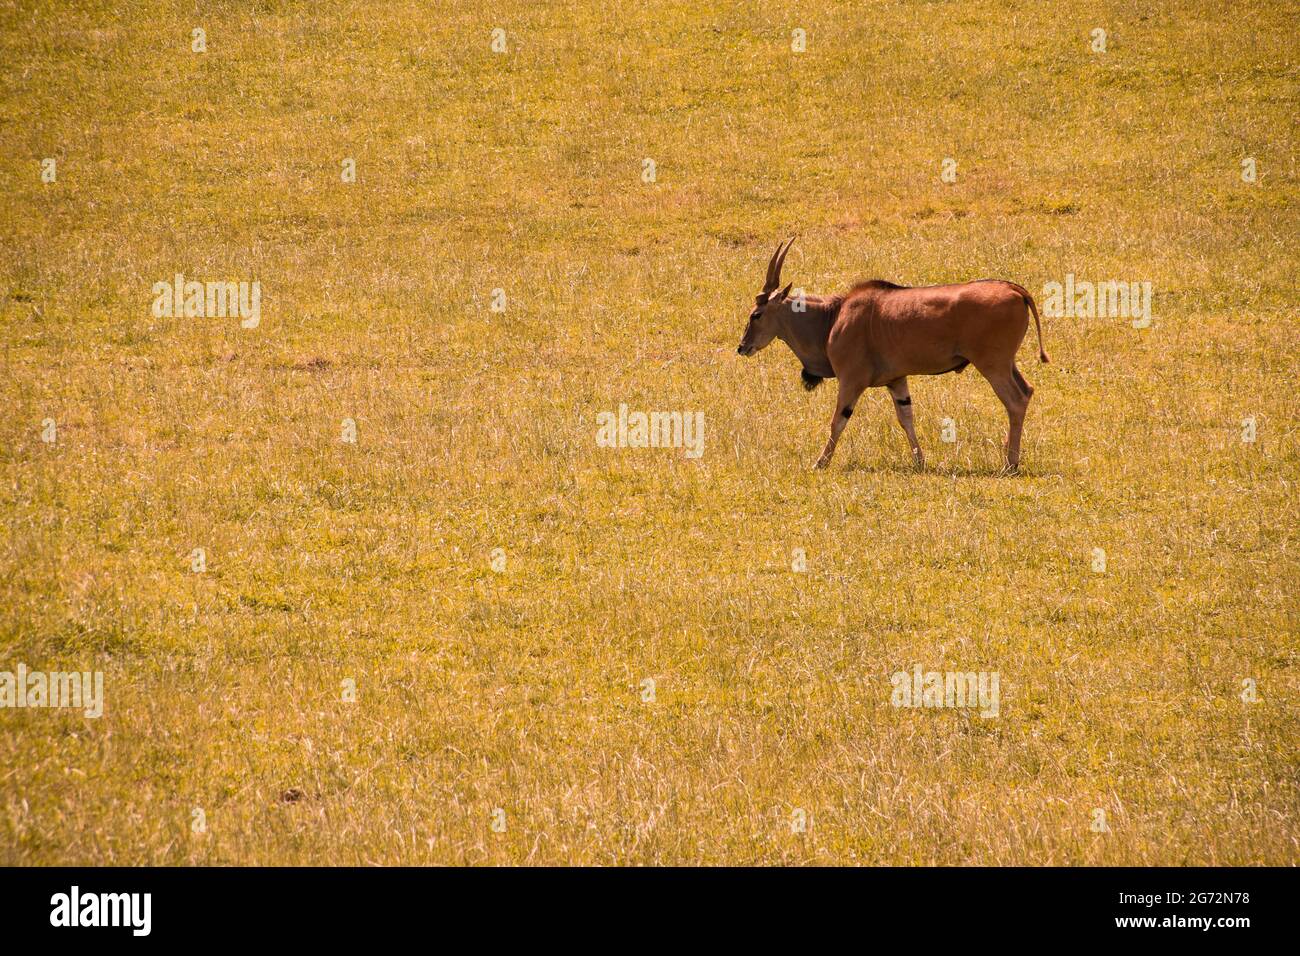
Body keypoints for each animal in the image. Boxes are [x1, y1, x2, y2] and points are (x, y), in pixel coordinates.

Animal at [736, 239, 1049, 472]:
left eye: (756, 315)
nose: (742, 347)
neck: (833, 317)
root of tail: (1014, 289)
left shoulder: (851, 380)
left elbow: (838, 420)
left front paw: (820, 462)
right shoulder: (897, 381)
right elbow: (906, 417)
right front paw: (920, 462)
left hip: (992, 365)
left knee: (1015, 400)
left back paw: (1010, 464)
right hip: (1006, 364)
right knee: (1027, 391)